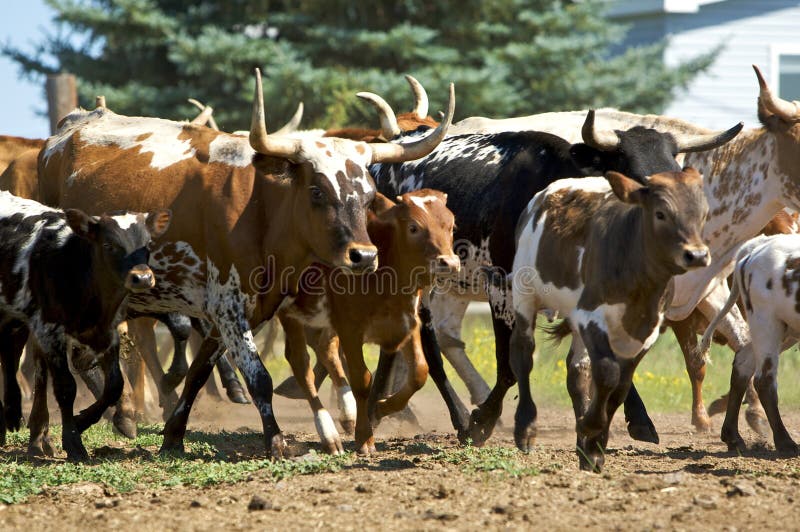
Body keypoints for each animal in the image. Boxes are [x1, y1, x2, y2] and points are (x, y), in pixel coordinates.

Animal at [0, 190, 171, 460]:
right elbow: (65, 387)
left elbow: (114, 385)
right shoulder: (50, 333)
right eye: (109, 245)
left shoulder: (107, 334)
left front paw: (83, 422)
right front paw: (73, 443)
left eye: (148, 244)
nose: (142, 278)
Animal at [277, 189, 459, 454]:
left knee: (326, 348)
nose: (450, 263)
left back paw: (348, 414)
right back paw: (328, 434)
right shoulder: (350, 329)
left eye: (451, 226)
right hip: (289, 312)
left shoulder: (407, 322)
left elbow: (419, 372)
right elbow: (362, 380)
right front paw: (365, 437)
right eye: (413, 227)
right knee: (301, 363)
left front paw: (380, 408)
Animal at [510, 167, 710, 471]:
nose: (696, 255)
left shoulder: (645, 332)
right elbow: (607, 372)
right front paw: (591, 429)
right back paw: (526, 429)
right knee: (523, 352)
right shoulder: (591, 316)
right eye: (660, 213)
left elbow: (620, 387)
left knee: (577, 370)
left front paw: (593, 447)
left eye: (703, 213)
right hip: (525, 293)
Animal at [699, 234, 800, 454]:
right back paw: (785, 442)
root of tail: (757, 245)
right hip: (766, 323)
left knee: (743, 364)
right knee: (764, 380)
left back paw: (733, 437)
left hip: (785, 330)